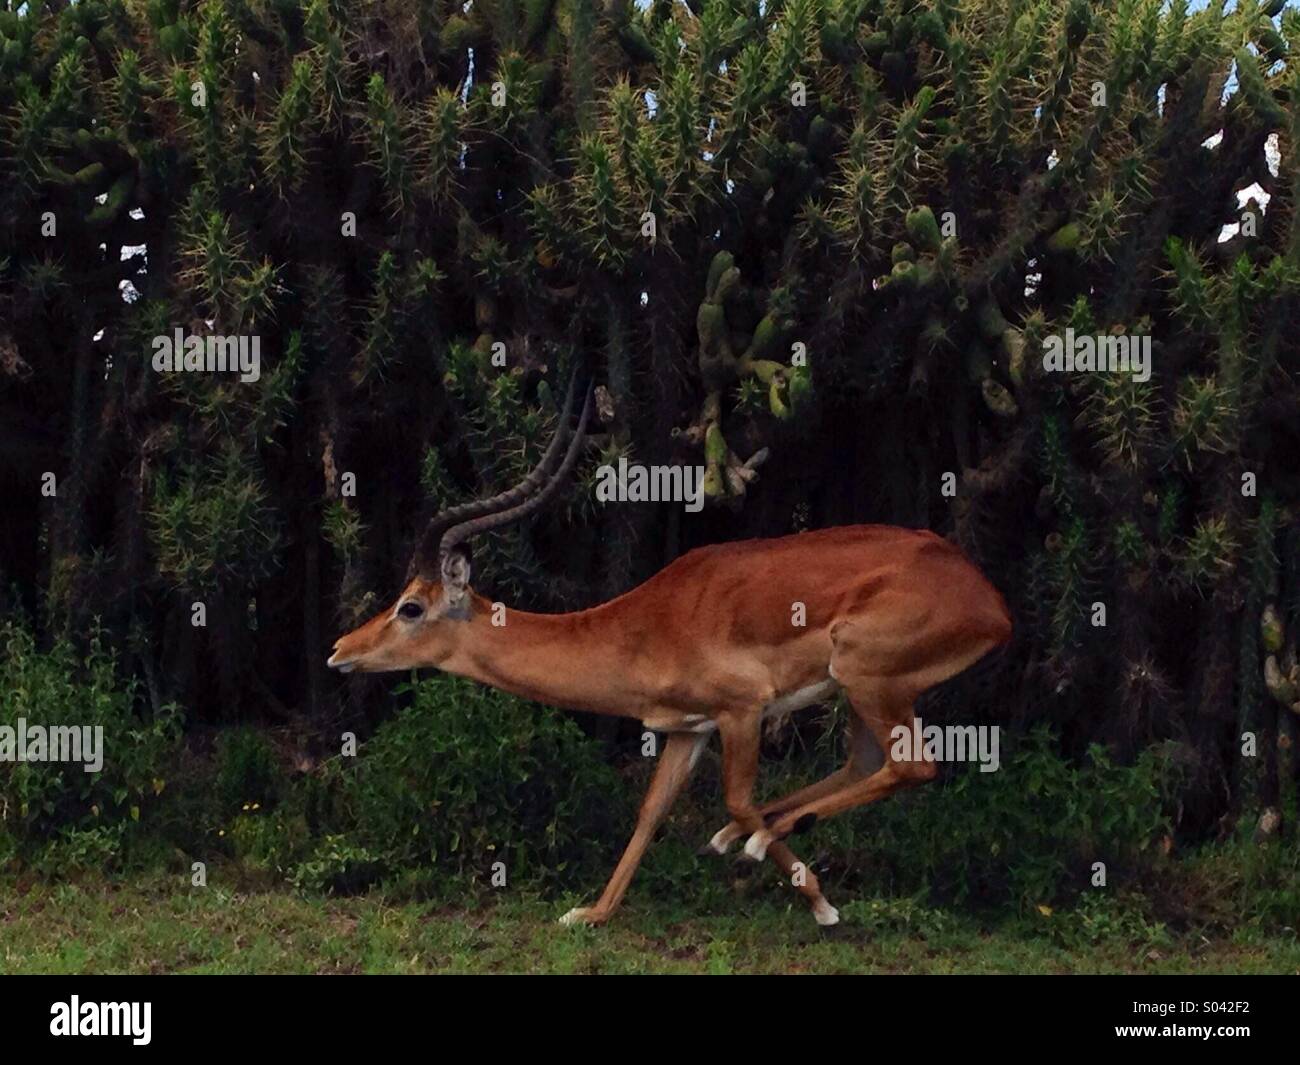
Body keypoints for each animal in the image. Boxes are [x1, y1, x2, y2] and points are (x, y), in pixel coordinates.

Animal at [327, 375, 1013, 927]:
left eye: (410, 607)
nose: (338, 650)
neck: (641, 626)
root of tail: (989, 601)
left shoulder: (743, 710)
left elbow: (736, 795)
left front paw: (820, 904)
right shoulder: (687, 729)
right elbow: (650, 812)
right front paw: (591, 914)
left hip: (866, 676)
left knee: (912, 767)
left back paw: (757, 844)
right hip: (859, 690)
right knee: (866, 764)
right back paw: (733, 840)